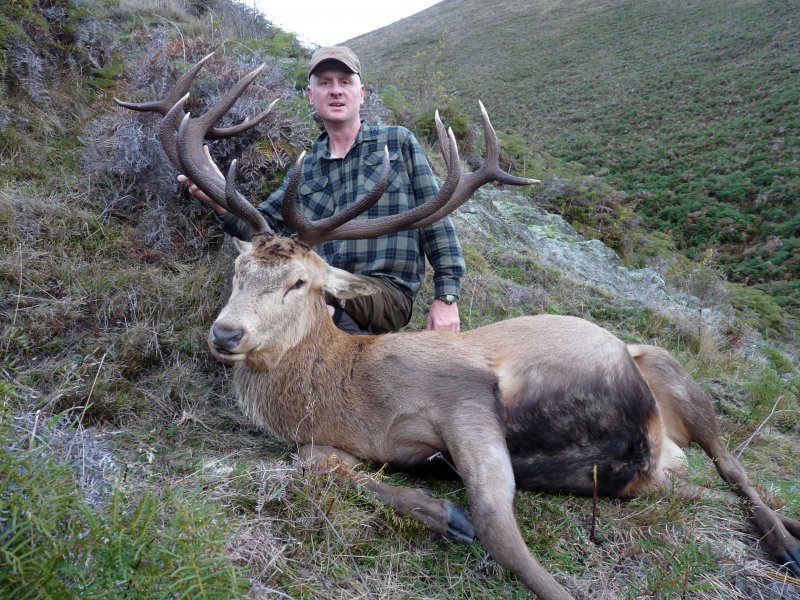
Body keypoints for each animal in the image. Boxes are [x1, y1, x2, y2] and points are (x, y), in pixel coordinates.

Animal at [116, 55, 800, 599]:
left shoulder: (464, 390)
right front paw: (442, 512)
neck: (347, 396)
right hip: (657, 471)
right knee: (704, 487)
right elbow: (316, 462)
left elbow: (498, 525)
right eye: (238, 268)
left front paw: (464, 521)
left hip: (667, 366)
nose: (226, 336)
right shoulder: (345, 443)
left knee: (734, 470)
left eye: (300, 283)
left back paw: (784, 544)